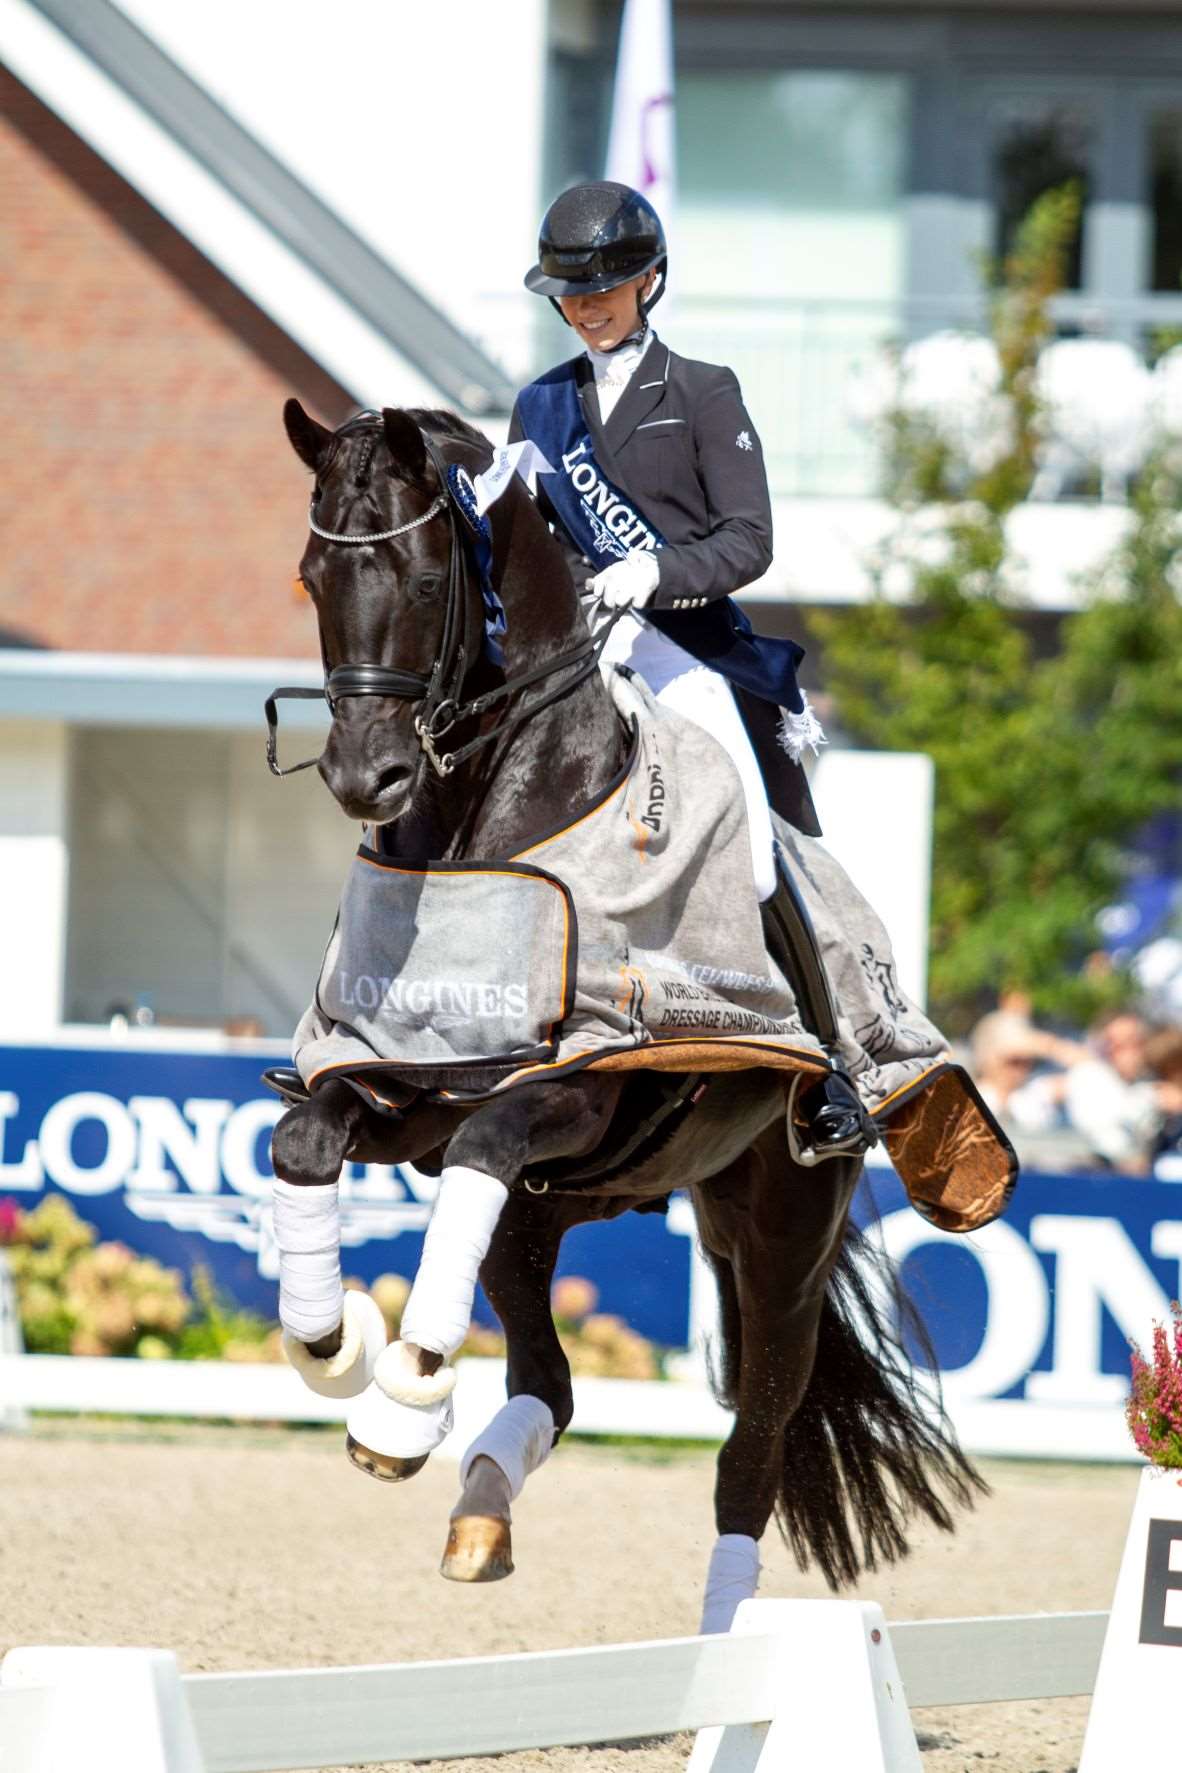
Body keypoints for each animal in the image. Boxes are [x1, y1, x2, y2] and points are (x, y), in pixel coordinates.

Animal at [267, 400, 982, 1622]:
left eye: (425, 579)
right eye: (314, 576)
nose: (368, 781)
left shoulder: (585, 1086)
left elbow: (492, 1133)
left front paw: (400, 1395)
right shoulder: (409, 1088)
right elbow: (306, 1136)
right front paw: (339, 1347)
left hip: (782, 1231)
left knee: (753, 1443)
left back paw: (725, 1632)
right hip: (546, 1218)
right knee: (550, 1384)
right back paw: (480, 1507)